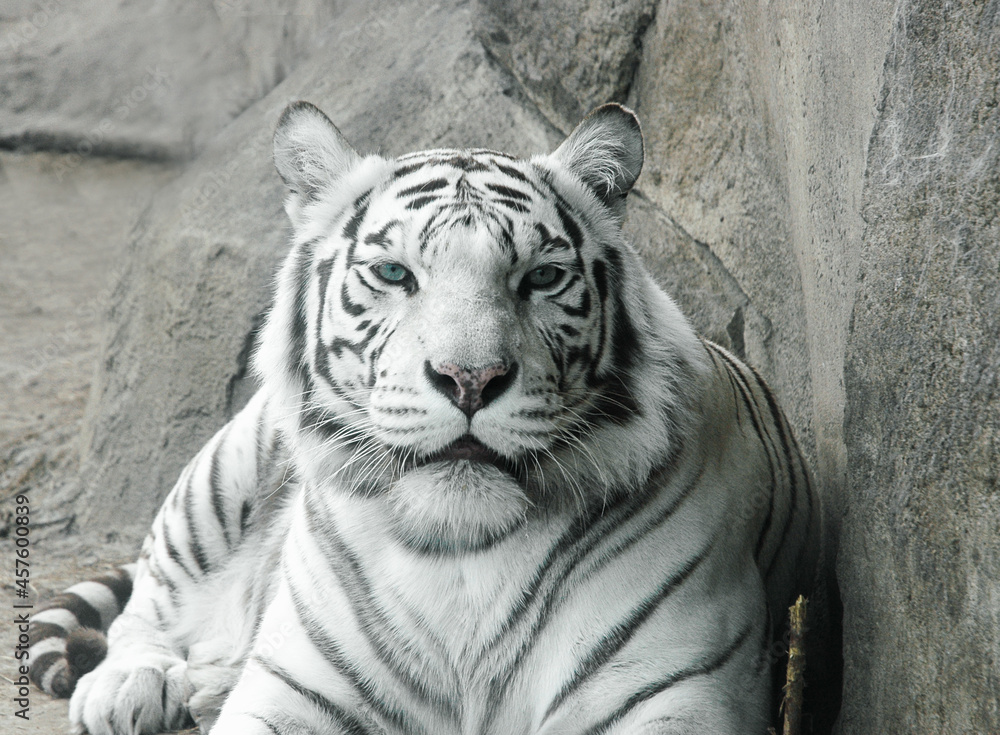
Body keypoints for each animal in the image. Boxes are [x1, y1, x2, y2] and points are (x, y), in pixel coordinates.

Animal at [29, 100, 823, 735]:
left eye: (541, 277)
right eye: (393, 273)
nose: (470, 380)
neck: (461, 553)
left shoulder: (671, 693)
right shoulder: (294, 690)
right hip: (222, 471)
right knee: (152, 599)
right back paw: (131, 686)